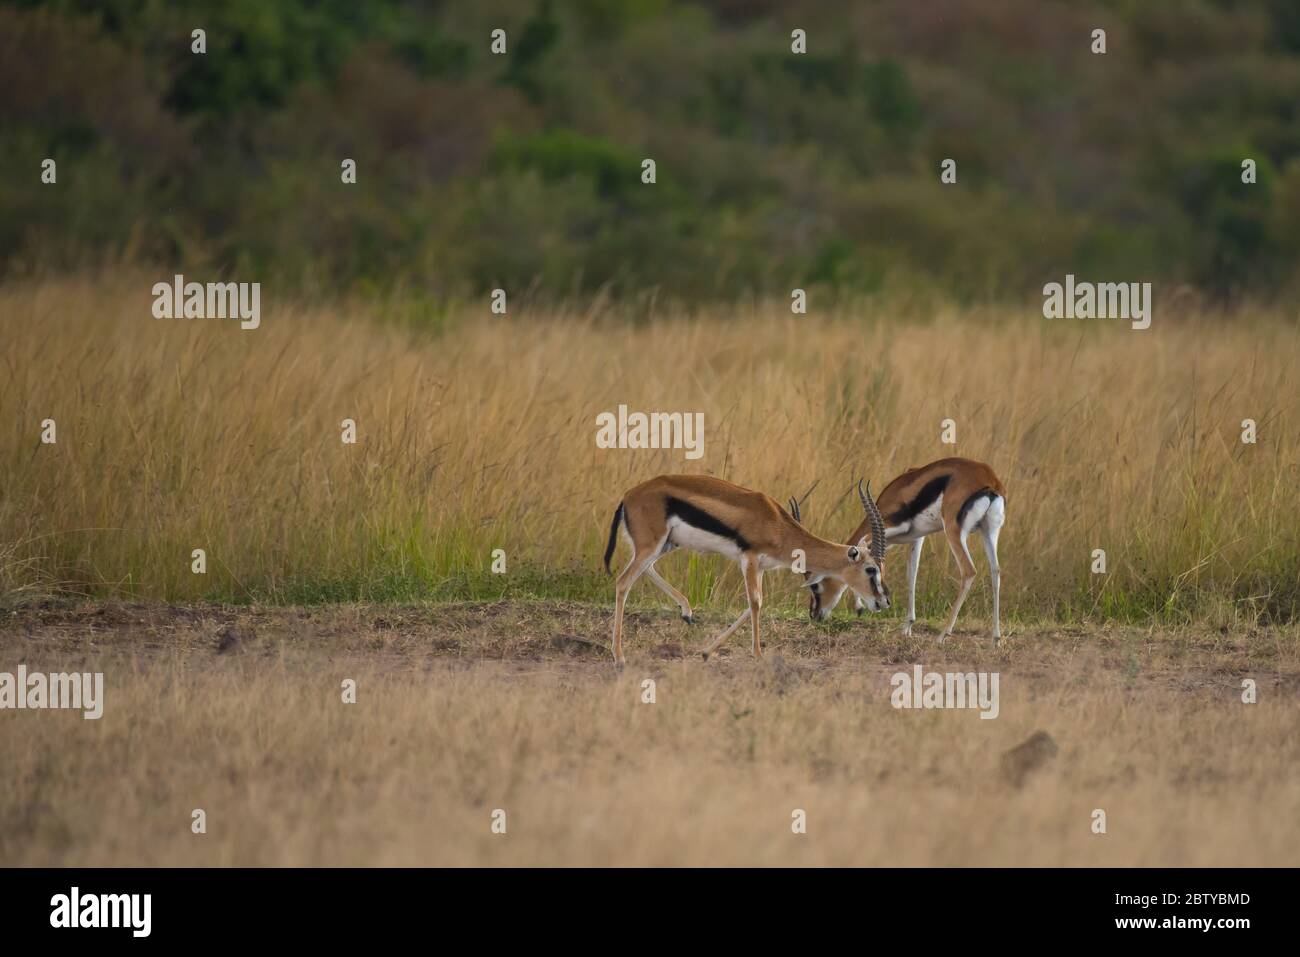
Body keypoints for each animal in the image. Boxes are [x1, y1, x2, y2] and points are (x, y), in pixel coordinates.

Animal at [602, 474, 890, 667]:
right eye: (871, 569)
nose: (883, 601)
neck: (778, 525)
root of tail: (628, 496)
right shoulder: (749, 558)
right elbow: (756, 602)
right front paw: (759, 655)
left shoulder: (759, 566)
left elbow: (752, 604)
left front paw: (706, 652)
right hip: (652, 545)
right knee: (623, 582)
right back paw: (619, 656)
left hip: (664, 544)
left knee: (646, 569)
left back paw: (686, 612)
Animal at [796, 458, 1006, 644]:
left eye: (815, 585)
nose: (814, 614)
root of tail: (991, 481)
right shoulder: (917, 537)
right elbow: (911, 573)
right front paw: (907, 627)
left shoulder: (890, 528)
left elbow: (863, 547)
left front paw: (860, 607)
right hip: (990, 532)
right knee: (995, 571)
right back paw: (995, 639)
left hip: (954, 531)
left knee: (969, 571)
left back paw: (942, 636)